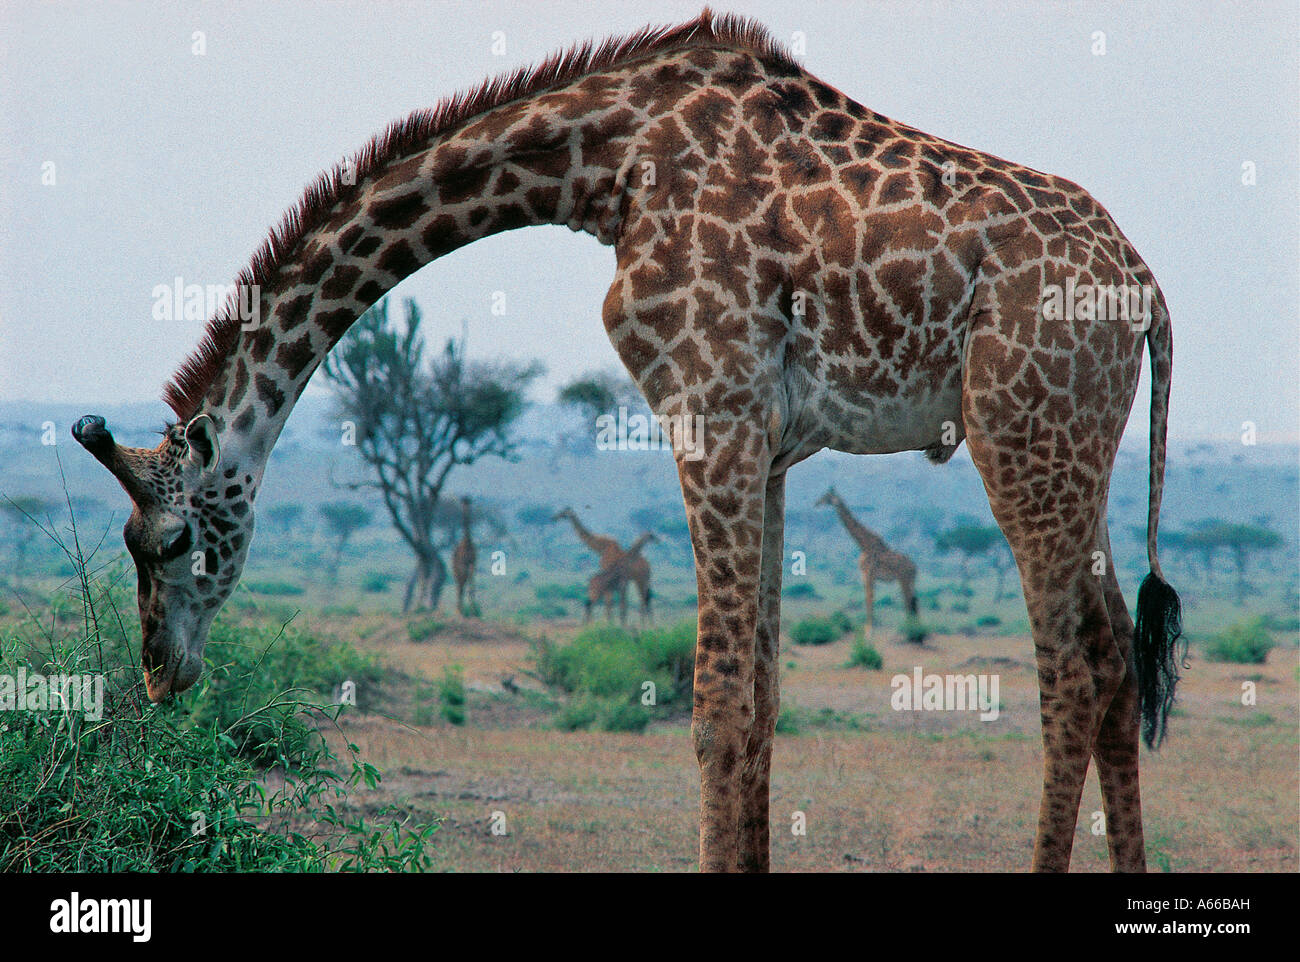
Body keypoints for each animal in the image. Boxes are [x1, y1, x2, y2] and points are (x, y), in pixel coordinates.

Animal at [815, 486, 919, 639]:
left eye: (827, 496)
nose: (816, 503)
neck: (863, 544)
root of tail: (915, 568)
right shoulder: (865, 576)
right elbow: (868, 598)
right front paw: (868, 630)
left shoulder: (869, 574)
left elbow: (869, 599)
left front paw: (869, 632)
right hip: (909, 582)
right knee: (913, 602)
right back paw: (914, 629)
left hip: (903, 580)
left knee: (907, 602)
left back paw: (907, 631)